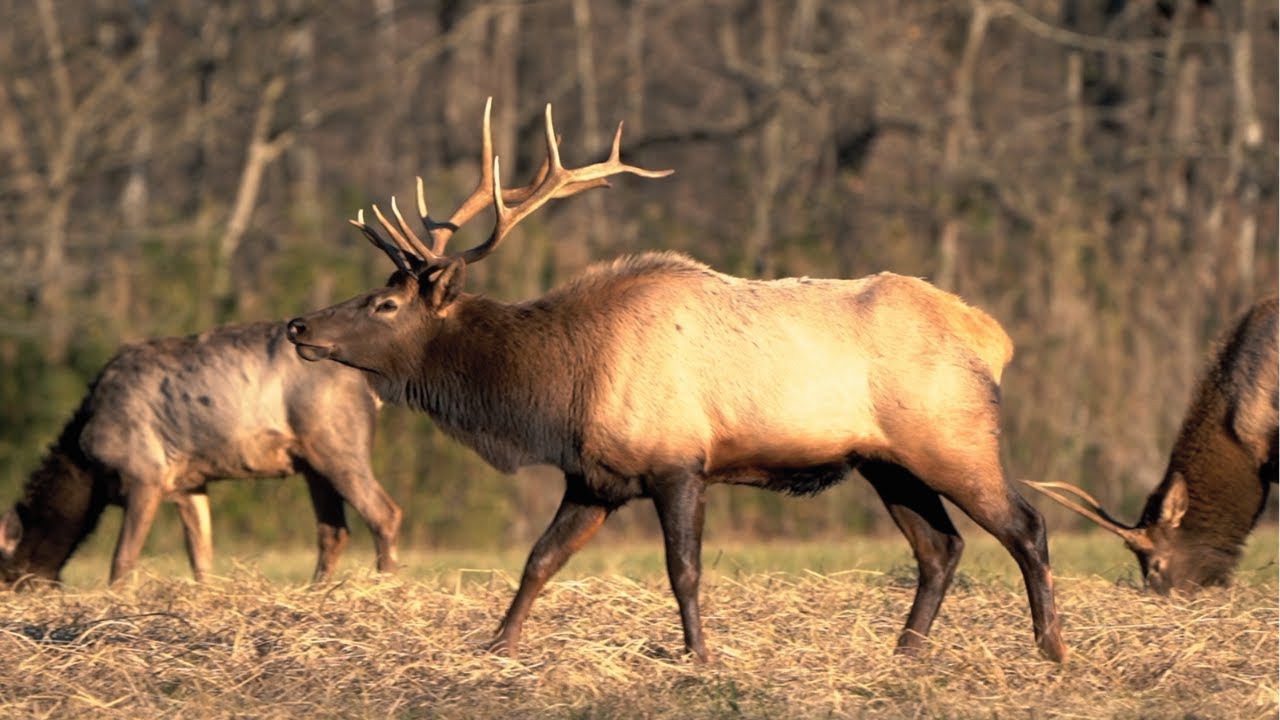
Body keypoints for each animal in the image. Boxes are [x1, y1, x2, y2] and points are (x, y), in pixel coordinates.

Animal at [0, 321, 403, 589]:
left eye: (6, 579)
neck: (88, 470)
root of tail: (371, 383)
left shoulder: (144, 475)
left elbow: (122, 561)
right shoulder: (188, 484)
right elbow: (201, 558)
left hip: (337, 444)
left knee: (384, 513)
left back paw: (386, 587)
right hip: (313, 464)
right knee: (333, 531)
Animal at [284, 98, 1067, 663]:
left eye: (385, 304)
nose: (297, 326)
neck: (559, 389)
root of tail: (992, 338)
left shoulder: (677, 461)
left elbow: (682, 569)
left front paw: (698, 656)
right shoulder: (595, 478)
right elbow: (538, 560)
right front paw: (496, 646)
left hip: (952, 437)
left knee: (1025, 525)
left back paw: (1050, 649)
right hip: (886, 462)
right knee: (940, 547)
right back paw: (904, 654)